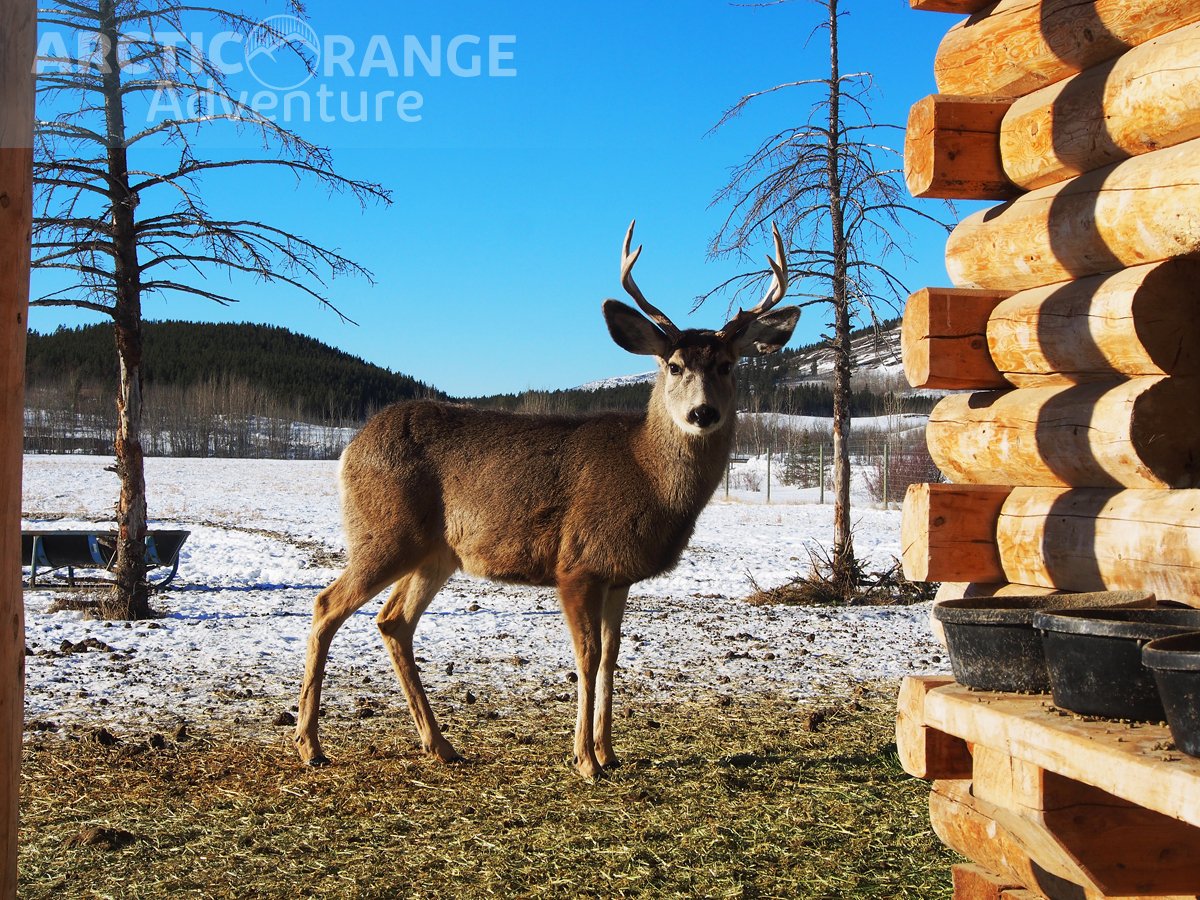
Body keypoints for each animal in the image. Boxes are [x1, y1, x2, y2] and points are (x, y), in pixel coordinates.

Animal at [293, 222, 798, 778]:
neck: (646, 472)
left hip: (436, 553)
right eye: (673, 364)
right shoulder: (575, 564)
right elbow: (588, 657)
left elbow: (613, 656)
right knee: (326, 604)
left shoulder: (618, 574)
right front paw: (584, 760)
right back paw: (310, 745)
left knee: (393, 621)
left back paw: (440, 744)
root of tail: (350, 448)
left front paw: (609, 751)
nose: (702, 413)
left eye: (727, 365)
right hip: (385, 534)